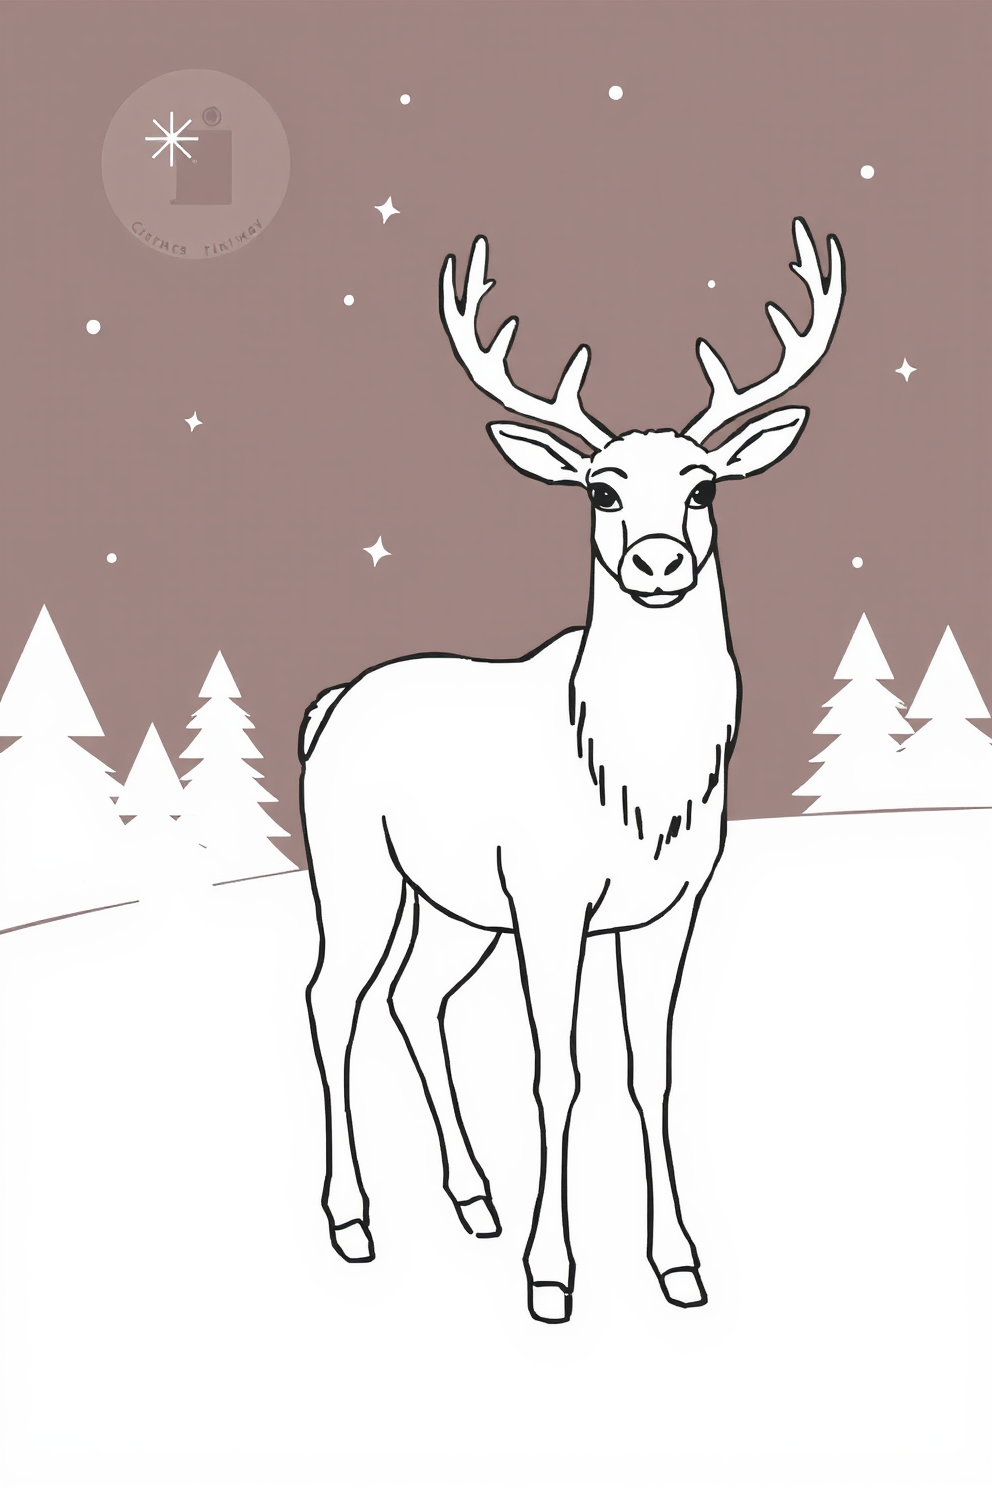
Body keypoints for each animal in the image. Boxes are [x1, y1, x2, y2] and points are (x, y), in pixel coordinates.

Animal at [299, 219, 844, 1323]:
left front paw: (679, 1265)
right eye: (601, 488)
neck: (634, 785)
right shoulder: (551, 900)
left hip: (455, 904)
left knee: (413, 998)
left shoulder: (670, 904)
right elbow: (558, 1072)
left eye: (702, 485)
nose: (655, 561)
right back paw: (352, 1221)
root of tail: (328, 706)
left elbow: (651, 1072)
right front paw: (551, 1277)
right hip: (353, 869)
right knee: (331, 1000)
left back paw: (474, 1199)